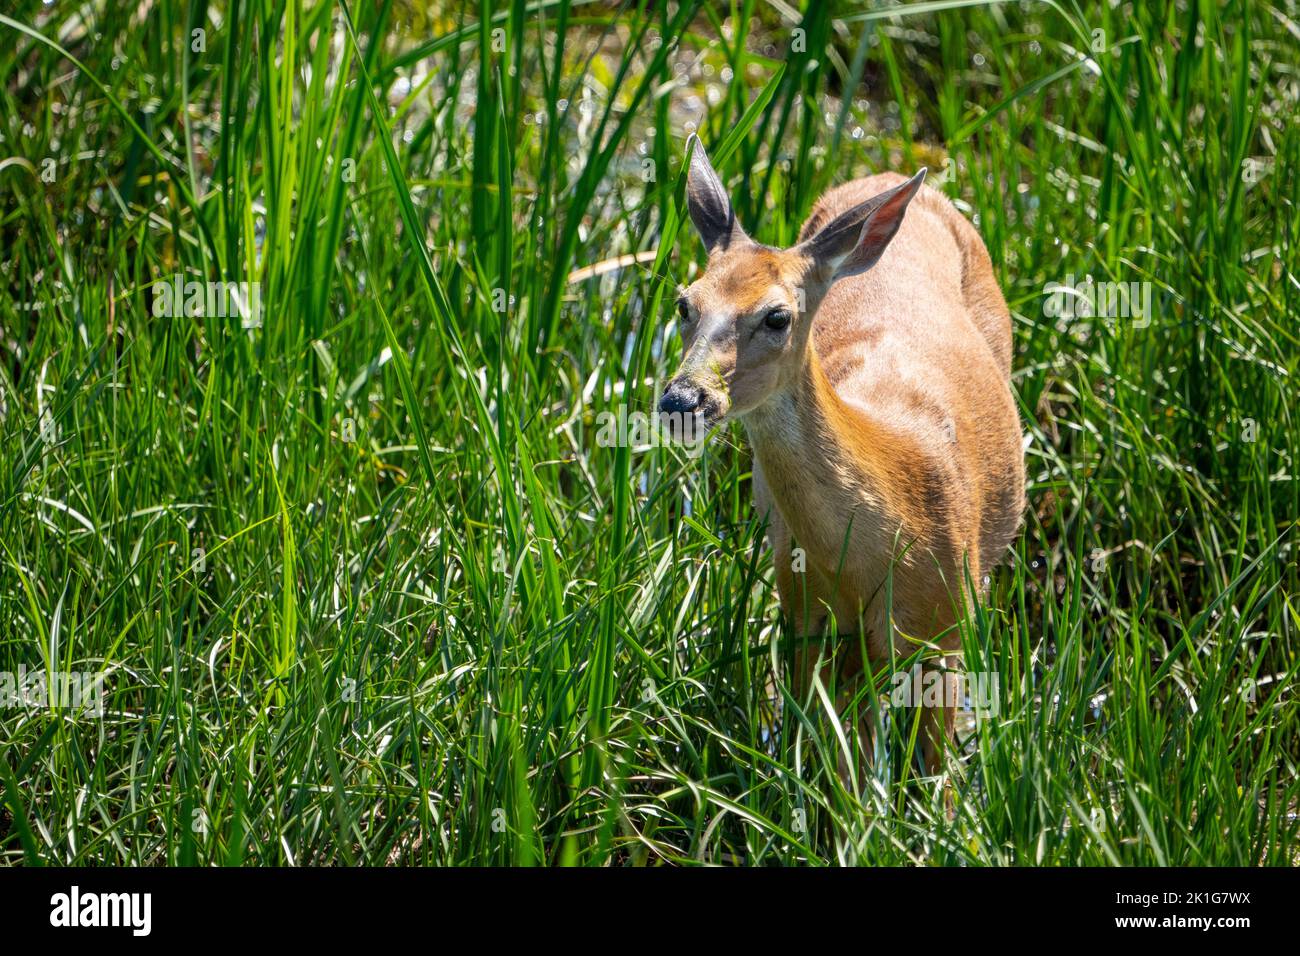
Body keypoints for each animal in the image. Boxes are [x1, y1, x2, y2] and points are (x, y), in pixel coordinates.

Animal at [659, 134, 1025, 783]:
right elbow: (827, 760)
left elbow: (932, 774)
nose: (682, 399)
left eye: (777, 315)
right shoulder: (802, 613)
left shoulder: (950, 630)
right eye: (685, 303)